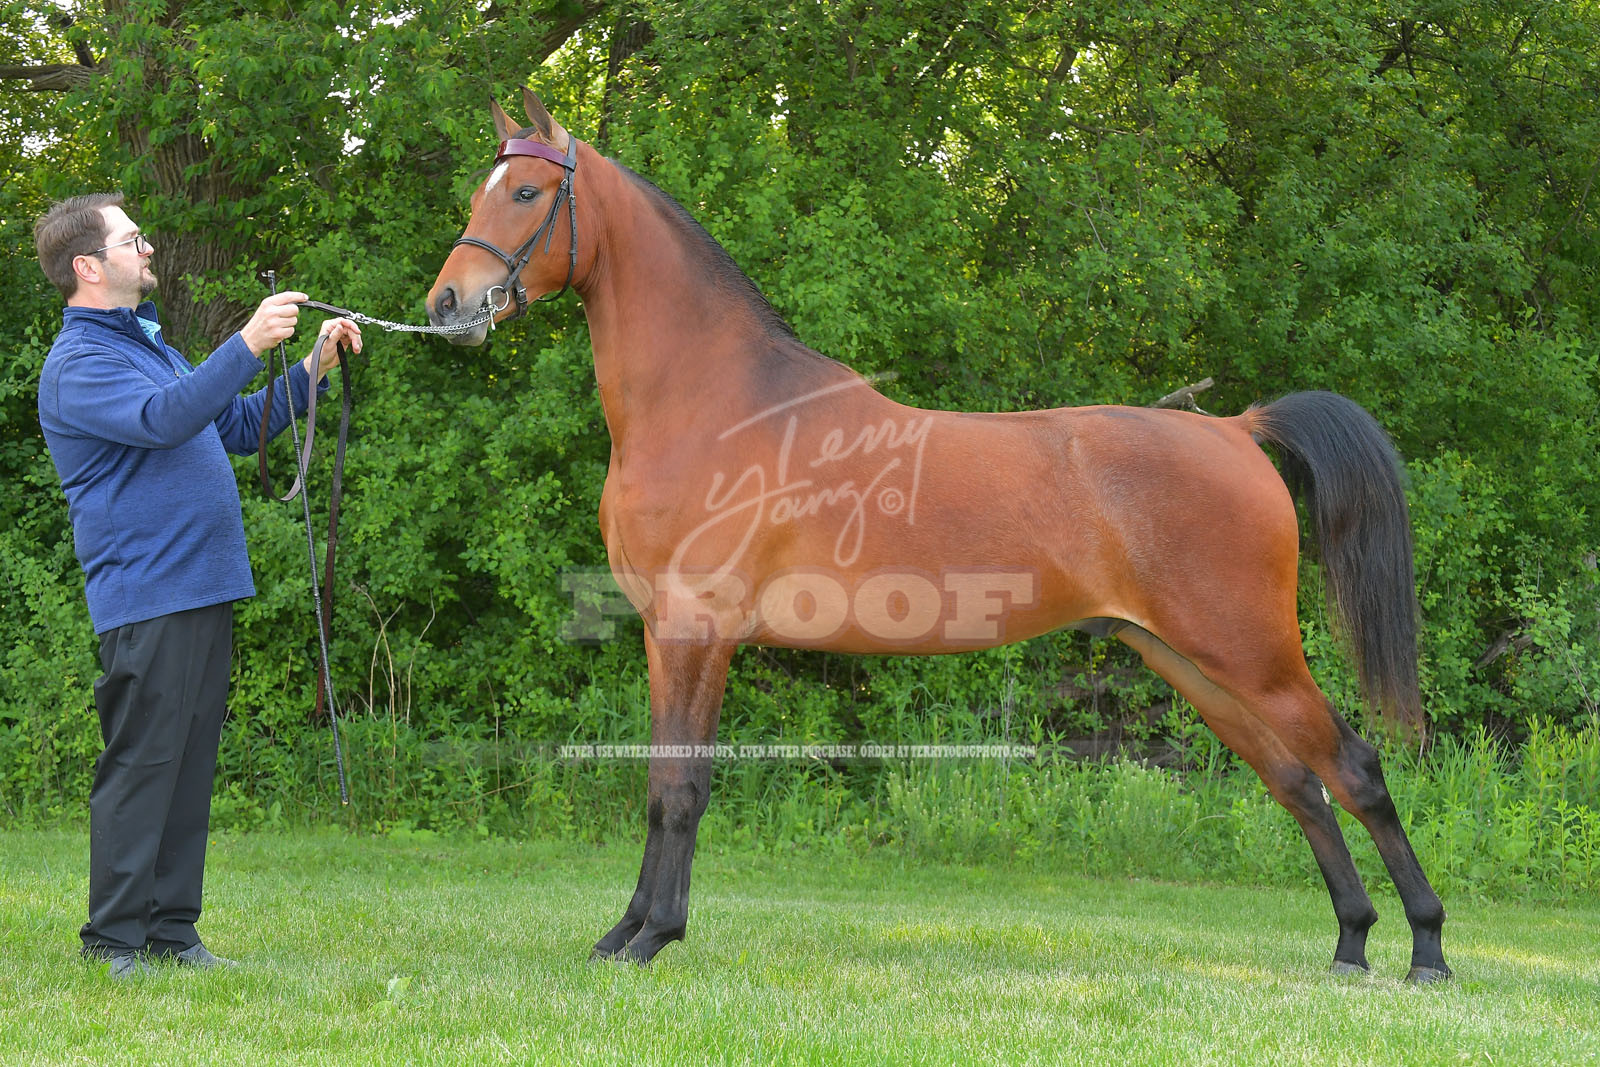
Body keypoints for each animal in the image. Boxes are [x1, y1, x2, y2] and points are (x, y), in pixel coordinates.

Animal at [426, 91, 1450, 982]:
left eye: (526, 192)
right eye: (482, 187)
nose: (446, 305)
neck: (714, 404)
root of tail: (1235, 429)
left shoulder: (697, 630)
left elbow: (683, 790)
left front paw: (653, 939)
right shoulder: (661, 634)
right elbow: (656, 785)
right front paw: (625, 932)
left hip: (1250, 652)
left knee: (1354, 768)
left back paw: (1427, 951)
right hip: (1188, 661)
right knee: (1299, 782)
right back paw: (1352, 942)